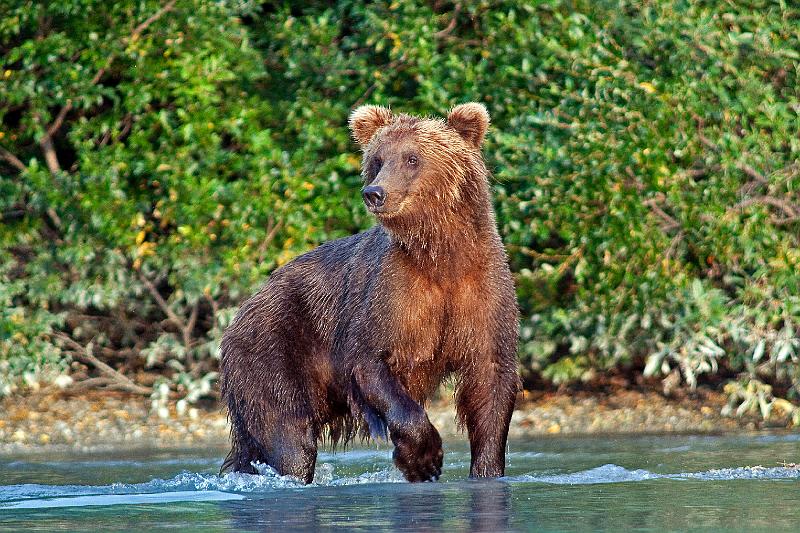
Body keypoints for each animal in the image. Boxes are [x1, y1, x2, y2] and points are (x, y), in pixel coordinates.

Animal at [219, 102, 520, 483]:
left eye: (412, 158)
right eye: (377, 159)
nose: (375, 193)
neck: (440, 255)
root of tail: (239, 314)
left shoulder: (483, 293)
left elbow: (491, 382)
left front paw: (485, 468)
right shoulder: (390, 293)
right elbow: (370, 362)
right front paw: (423, 458)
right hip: (274, 349)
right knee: (289, 436)